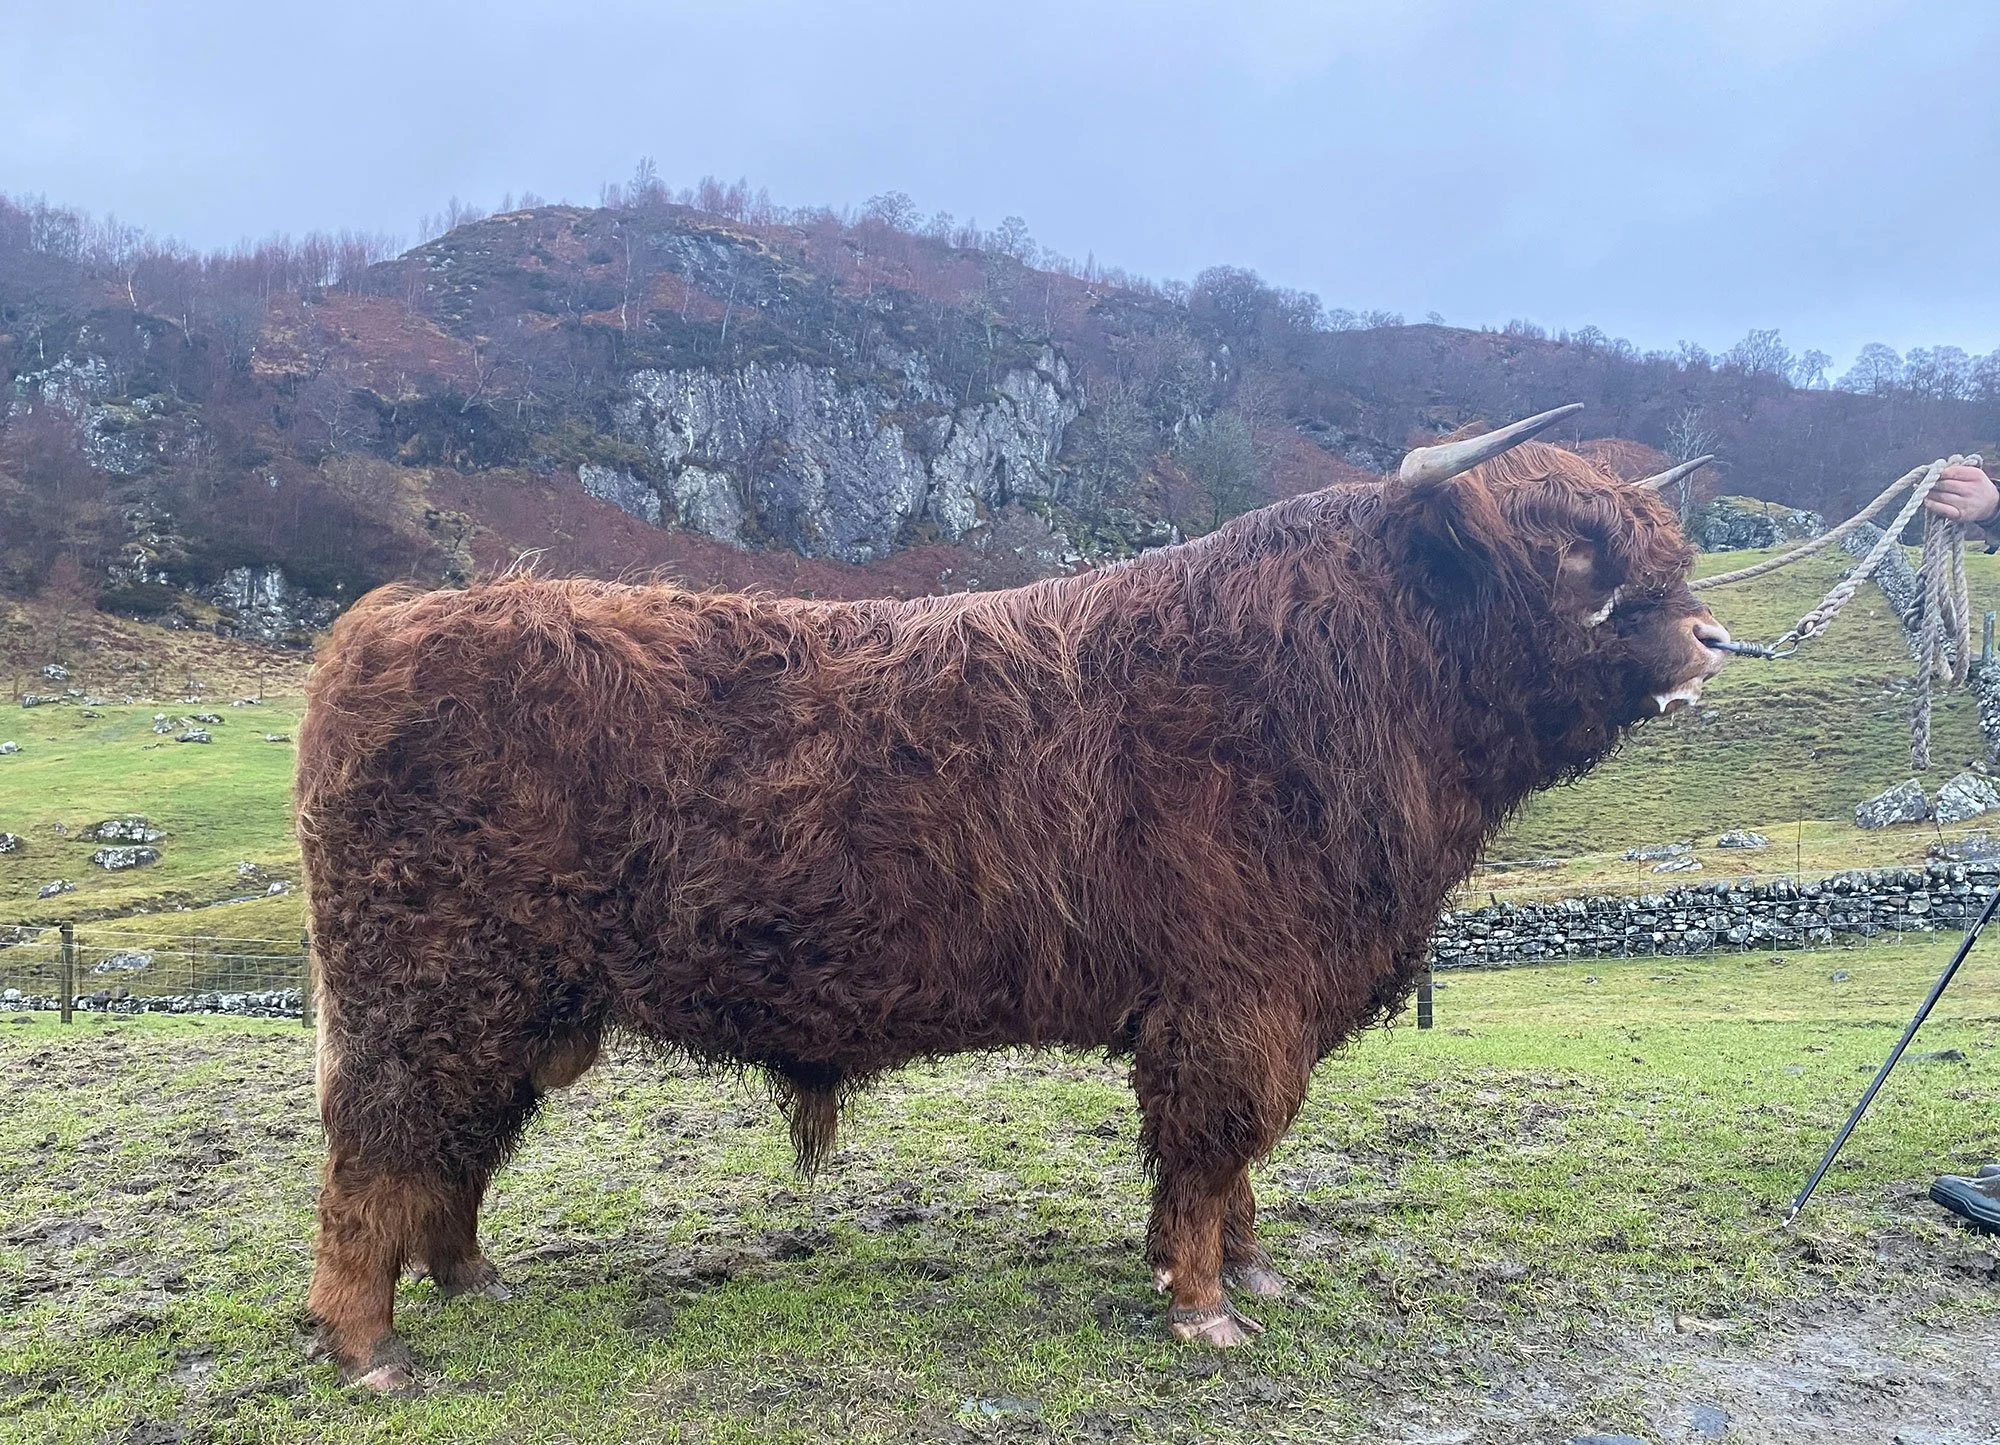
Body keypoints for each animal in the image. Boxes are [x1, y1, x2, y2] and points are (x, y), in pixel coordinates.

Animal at [297, 406, 1731, 1389]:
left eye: (1664, 537)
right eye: (1567, 546)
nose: (1709, 641)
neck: (1357, 679)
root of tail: (378, 630)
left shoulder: (1255, 999)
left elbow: (1236, 1162)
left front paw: (1244, 1264)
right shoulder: (1234, 996)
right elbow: (1214, 1145)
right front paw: (1204, 1307)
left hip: (516, 1003)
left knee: (454, 1149)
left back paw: (474, 1281)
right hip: (426, 988)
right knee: (373, 1151)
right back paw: (371, 1350)